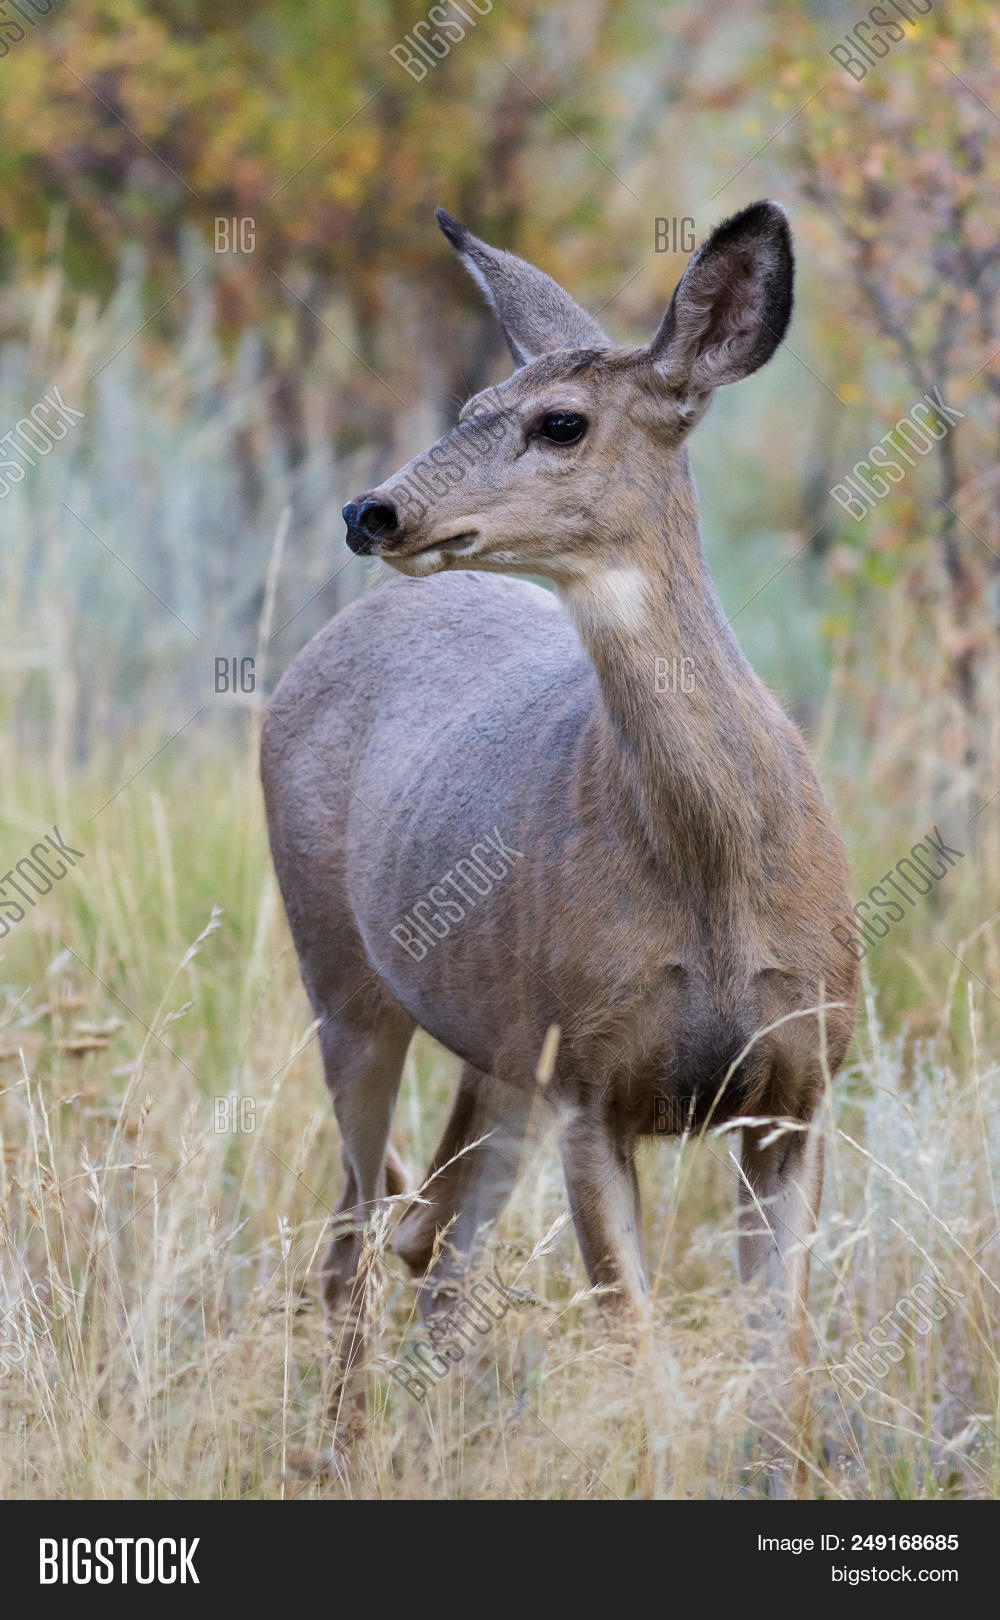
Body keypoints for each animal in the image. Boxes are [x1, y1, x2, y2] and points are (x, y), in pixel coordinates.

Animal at [260, 199, 859, 1466]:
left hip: (496, 1046)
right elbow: (650, 1371)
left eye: (560, 421)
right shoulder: (591, 1077)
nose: (370, 510)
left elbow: (779, 1375)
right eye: (469, 405)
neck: (713, 875)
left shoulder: (798, 1087)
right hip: (343, 981)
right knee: (355, 1236)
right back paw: (342, 1453)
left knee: (432, 1237)